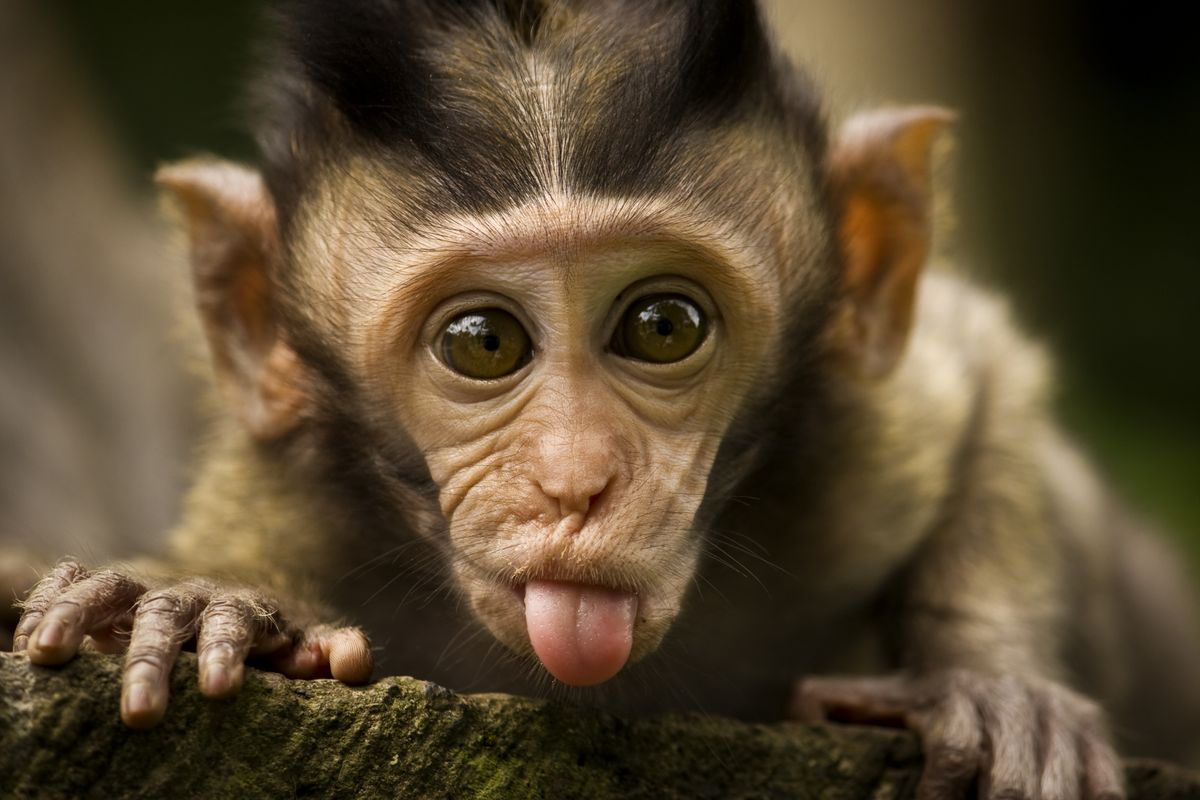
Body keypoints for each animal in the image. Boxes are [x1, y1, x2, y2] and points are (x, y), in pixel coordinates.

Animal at [11, 1, 1200, 797]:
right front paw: (212, 601)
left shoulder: (866, 449)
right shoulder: (289, 495)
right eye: (483, 342)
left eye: (661, 326)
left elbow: (986, 372)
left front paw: (991, 683)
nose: (576, 481)